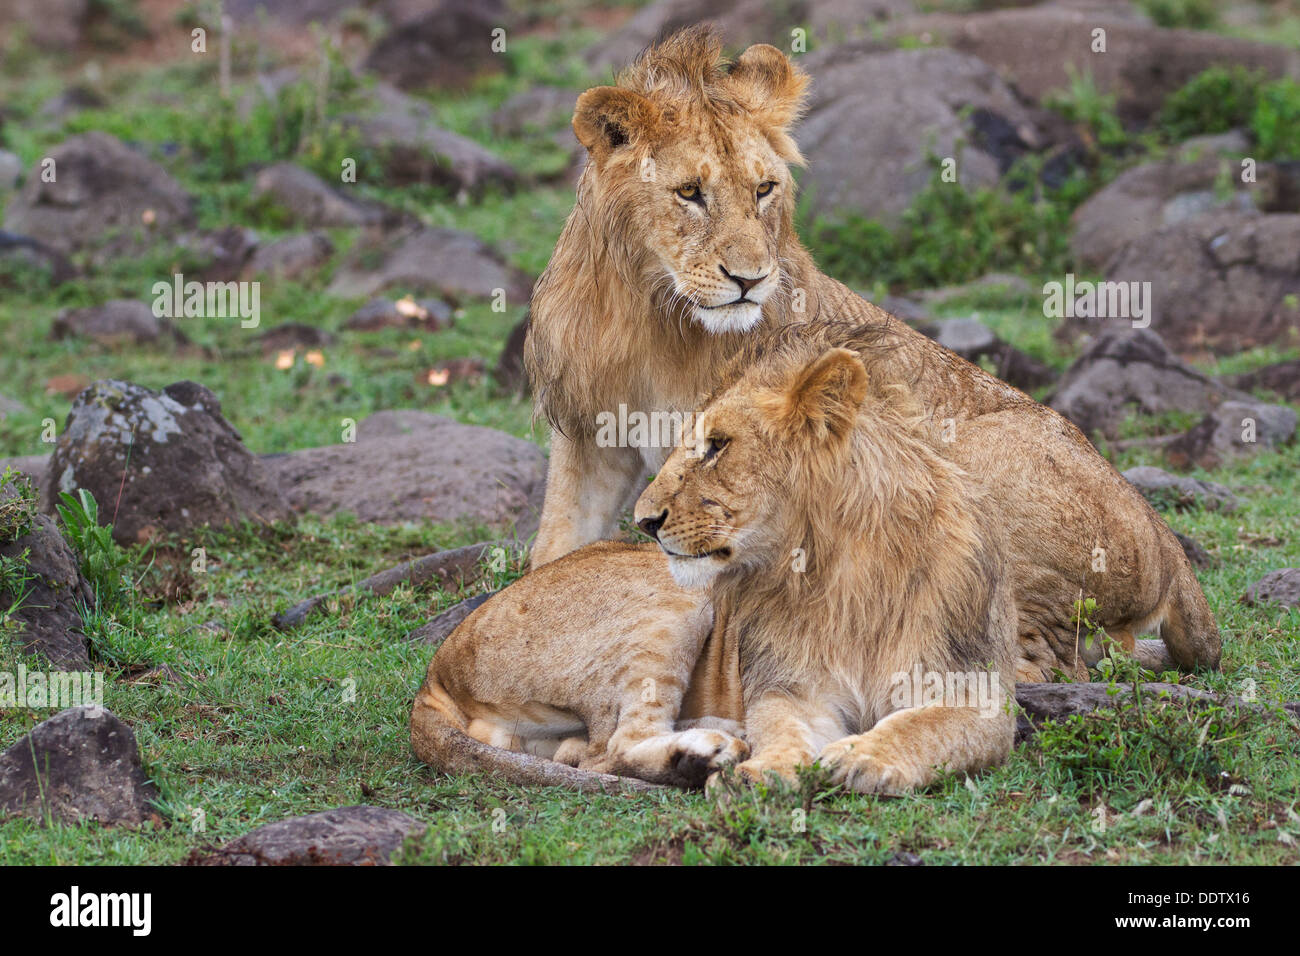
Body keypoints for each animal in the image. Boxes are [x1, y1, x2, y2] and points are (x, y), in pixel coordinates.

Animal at [523, 25, 1220, 681]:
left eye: (764, 190)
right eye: (690, 192)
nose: (750, 279)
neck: (648, 310)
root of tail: (1168, 545)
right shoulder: (590, 439)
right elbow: (553, 552)